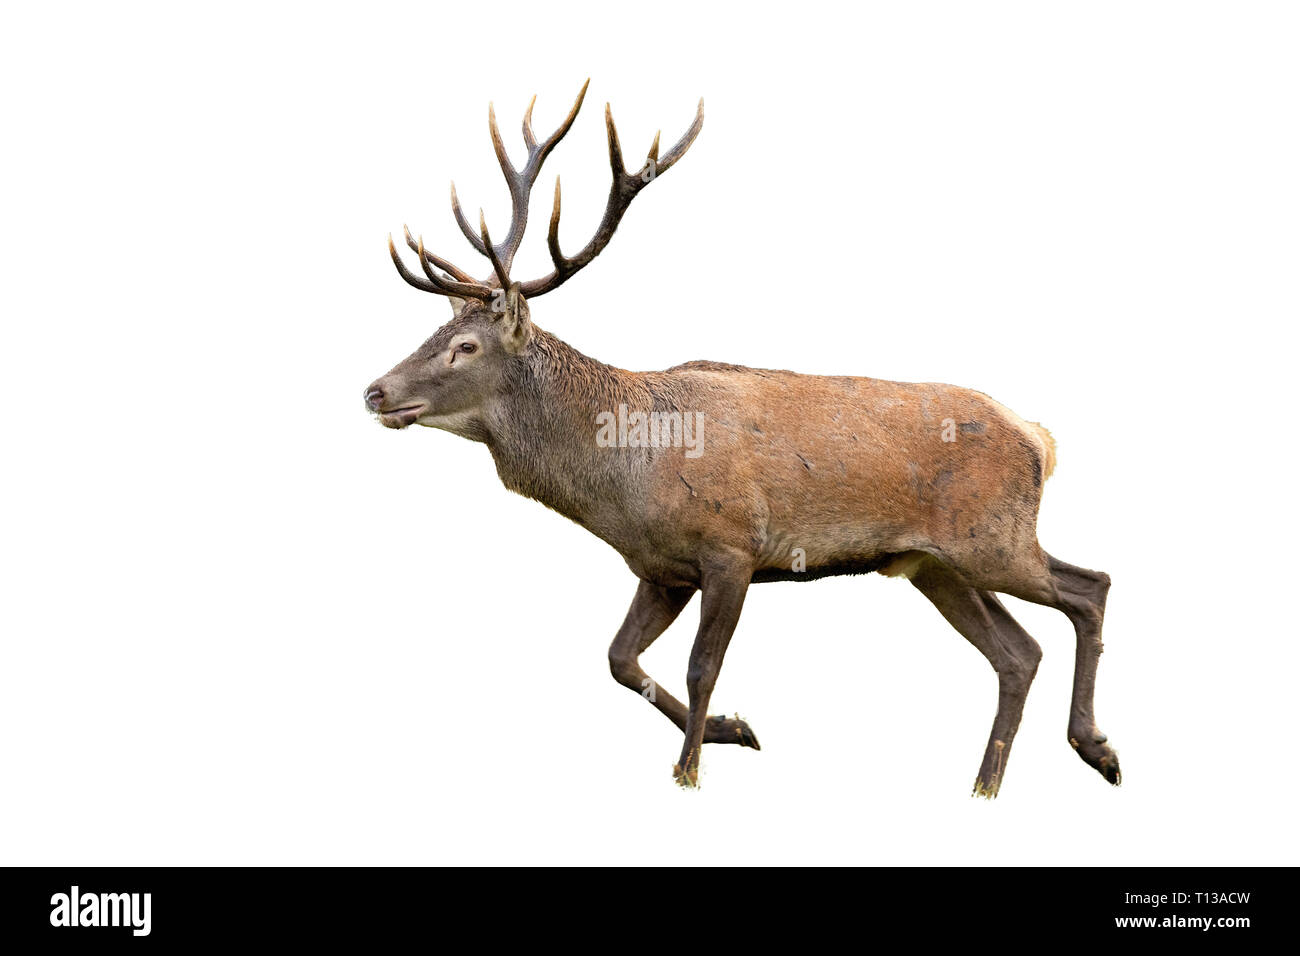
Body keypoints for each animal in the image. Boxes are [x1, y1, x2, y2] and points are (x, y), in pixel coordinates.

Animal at [364, 81, 1119, 796]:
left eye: (464, 346)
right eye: (432, 333)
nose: (375, 391)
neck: (623, 481)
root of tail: (1040, 437)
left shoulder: (732, 548)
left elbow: (702, 667)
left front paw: (690, 769)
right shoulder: (660, 569)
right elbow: (619, 659)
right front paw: (734, 730)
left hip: (992, 539)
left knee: (1090, 587)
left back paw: (1096, 746)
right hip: (934, 565)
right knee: (1018, 653)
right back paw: (988, 783)